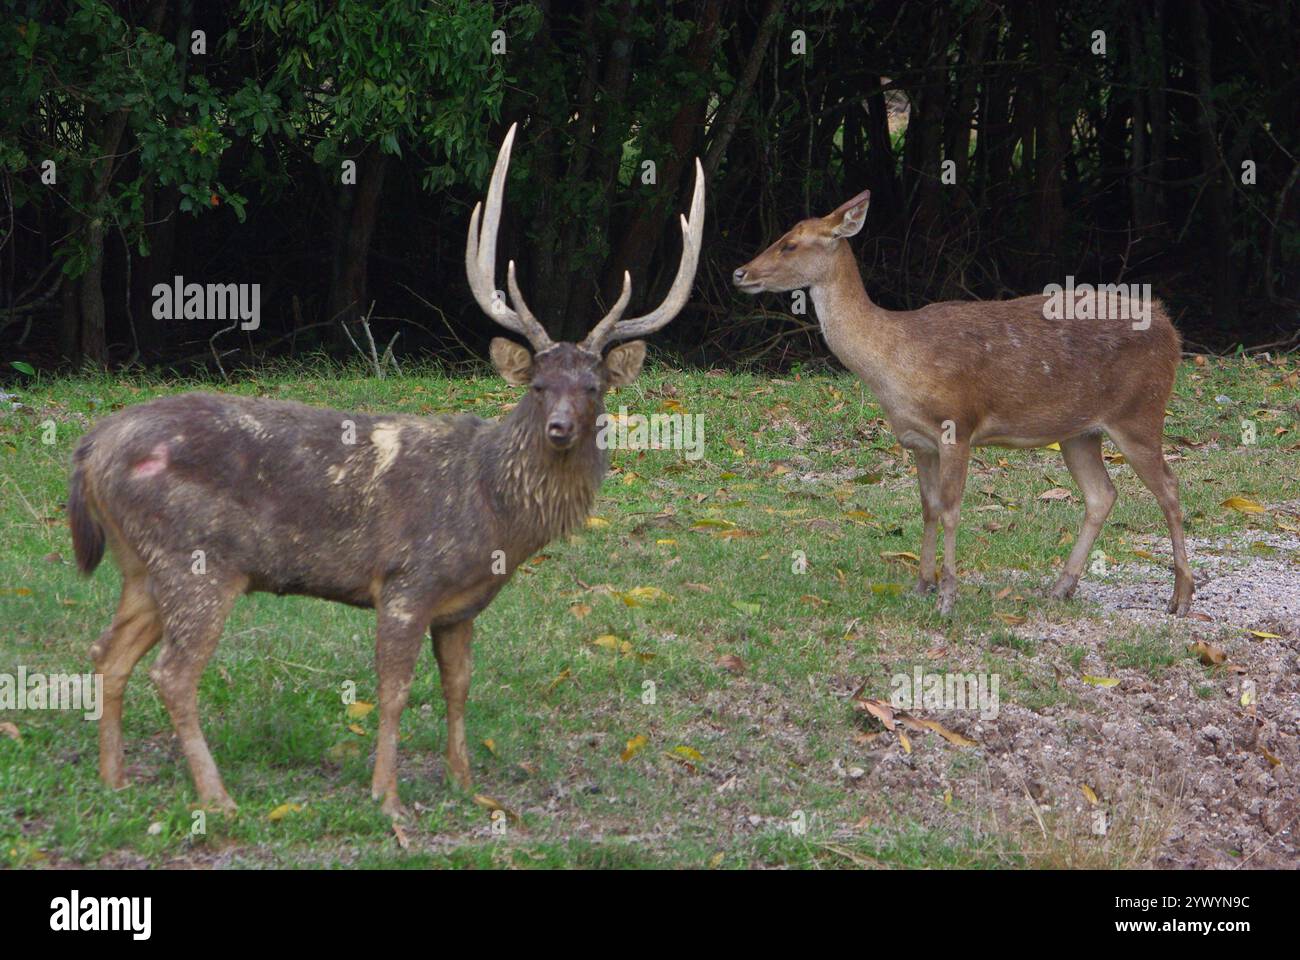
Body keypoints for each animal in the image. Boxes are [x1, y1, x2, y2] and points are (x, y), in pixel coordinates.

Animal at [67, 123, 705, 818]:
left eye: (594, 388)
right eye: (538, 386)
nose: (561, 427)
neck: (493, 512)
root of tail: (93, 445)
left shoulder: (460, 607)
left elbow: (459, 687)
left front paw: (466, 784)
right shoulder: (406, 580)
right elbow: (395, 690)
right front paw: (387, 797)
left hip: (142, 565)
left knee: (107, 652)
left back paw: (115, 779)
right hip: (196, 558)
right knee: (173, 673)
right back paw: (218, 799)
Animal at [733, 189, 1192, 617]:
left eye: (791, 244)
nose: (740, 272)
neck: (894, 363)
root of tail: (1171, 331)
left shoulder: (957, 424)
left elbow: (952, 509)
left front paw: (948, 597)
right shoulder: (917, 441)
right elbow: (928, 508)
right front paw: (921, 586)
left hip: (1139, 412)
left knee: (1169, 486)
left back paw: (1180, 597)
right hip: (1079, 432)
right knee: (1102, 494)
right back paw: (1060, 588)